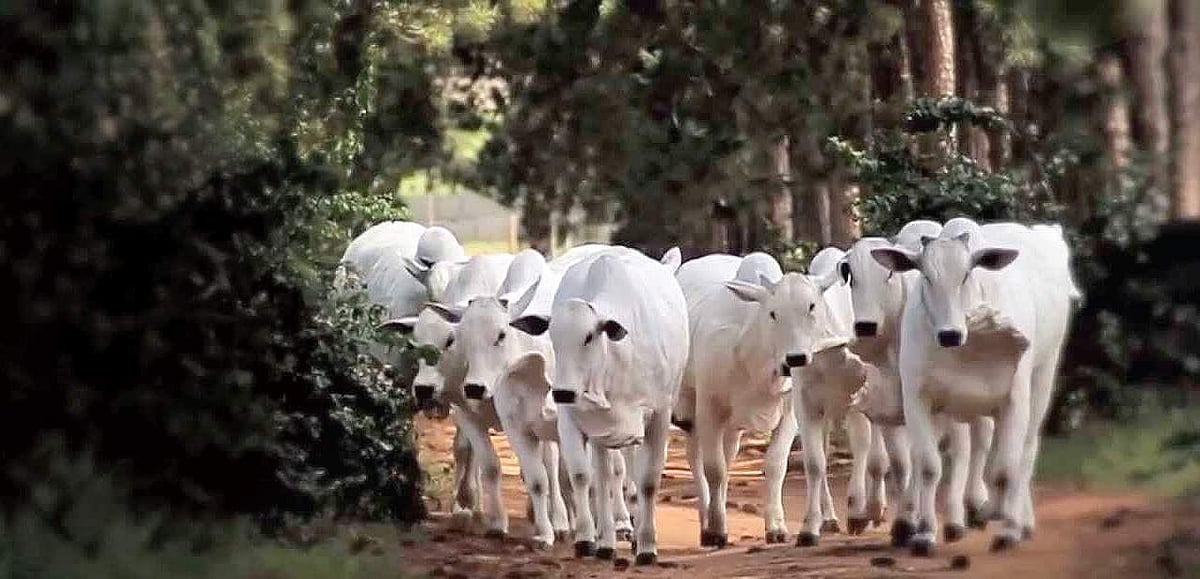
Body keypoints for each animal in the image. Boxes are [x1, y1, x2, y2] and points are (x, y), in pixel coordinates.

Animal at [515, 246, 687, 565]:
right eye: (552, 335)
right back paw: (607, 539)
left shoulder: (659, 415)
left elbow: (647, 482)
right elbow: (585, 477)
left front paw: (647, 546)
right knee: (603, 477)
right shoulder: (575, 420)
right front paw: (588, 540)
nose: (563, 392)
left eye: (588, 336)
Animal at [870, 218, 1079, 555]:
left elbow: (1006, 468)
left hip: (1043, 374)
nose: (949, 334)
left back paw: (1018, 520)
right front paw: (924, 533)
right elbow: (928, 466)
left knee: (1026, 451)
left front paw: (1006, 529)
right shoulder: (917, 398)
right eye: (925, 276)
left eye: (966, 274)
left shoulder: (1015, 397)